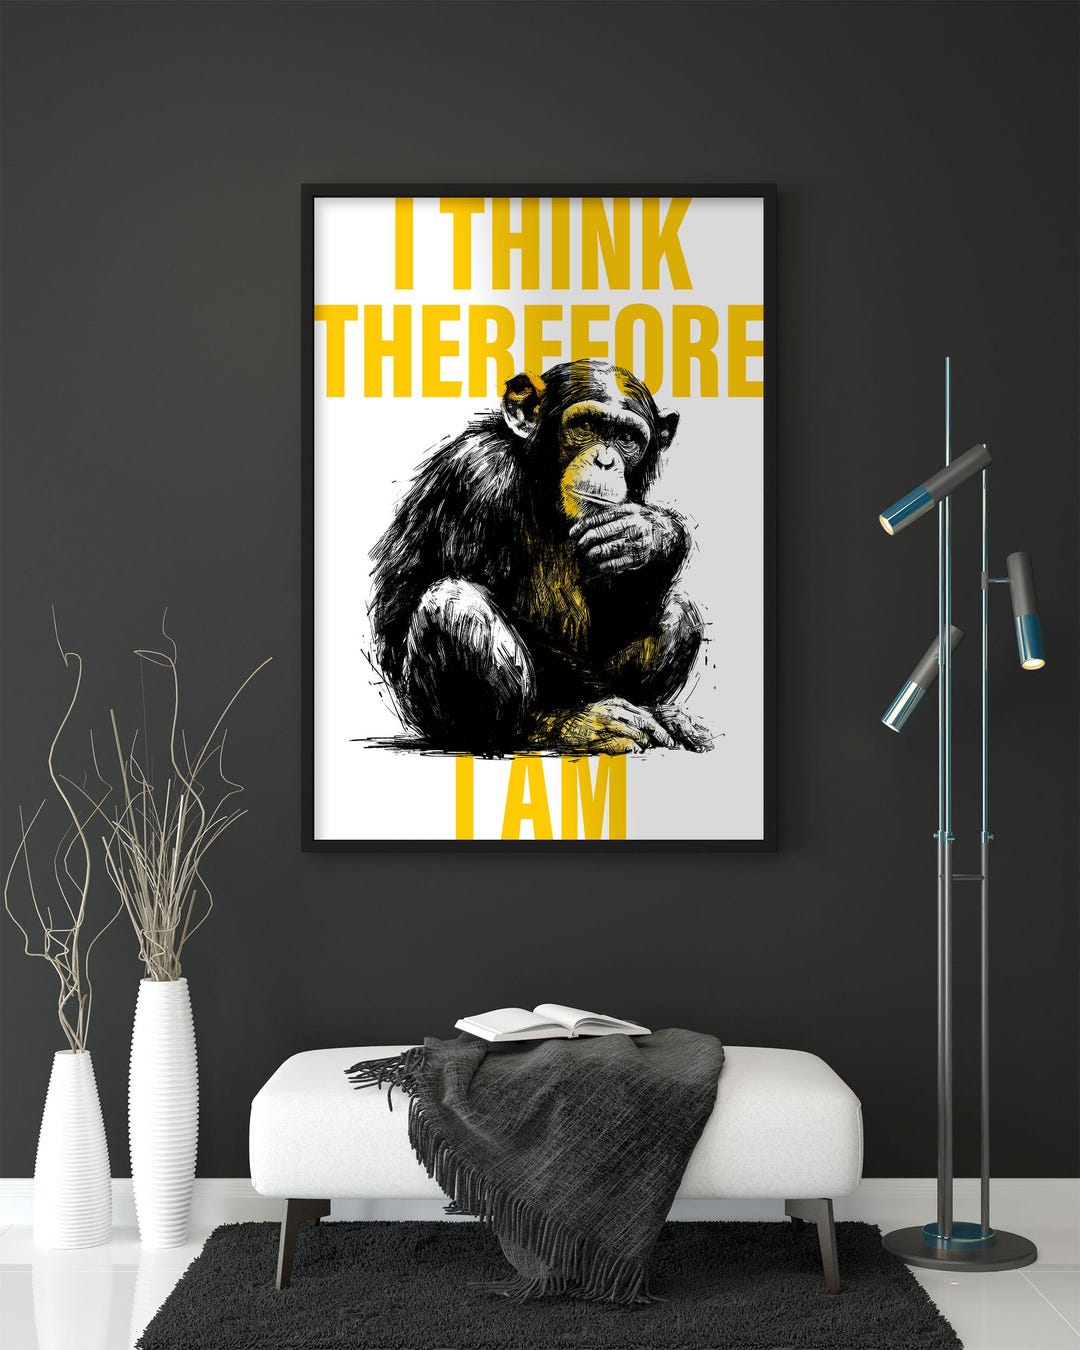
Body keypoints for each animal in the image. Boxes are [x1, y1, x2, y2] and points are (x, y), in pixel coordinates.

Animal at [368, 359, 711, 756]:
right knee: (455, 603)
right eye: (586, 427)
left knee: (680, 609)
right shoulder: (478, 477)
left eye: (627, 438)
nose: (606, 461)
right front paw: (590, 719)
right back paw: (549, 727)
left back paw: (659, 710)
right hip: (436, 717)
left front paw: (651, 535)